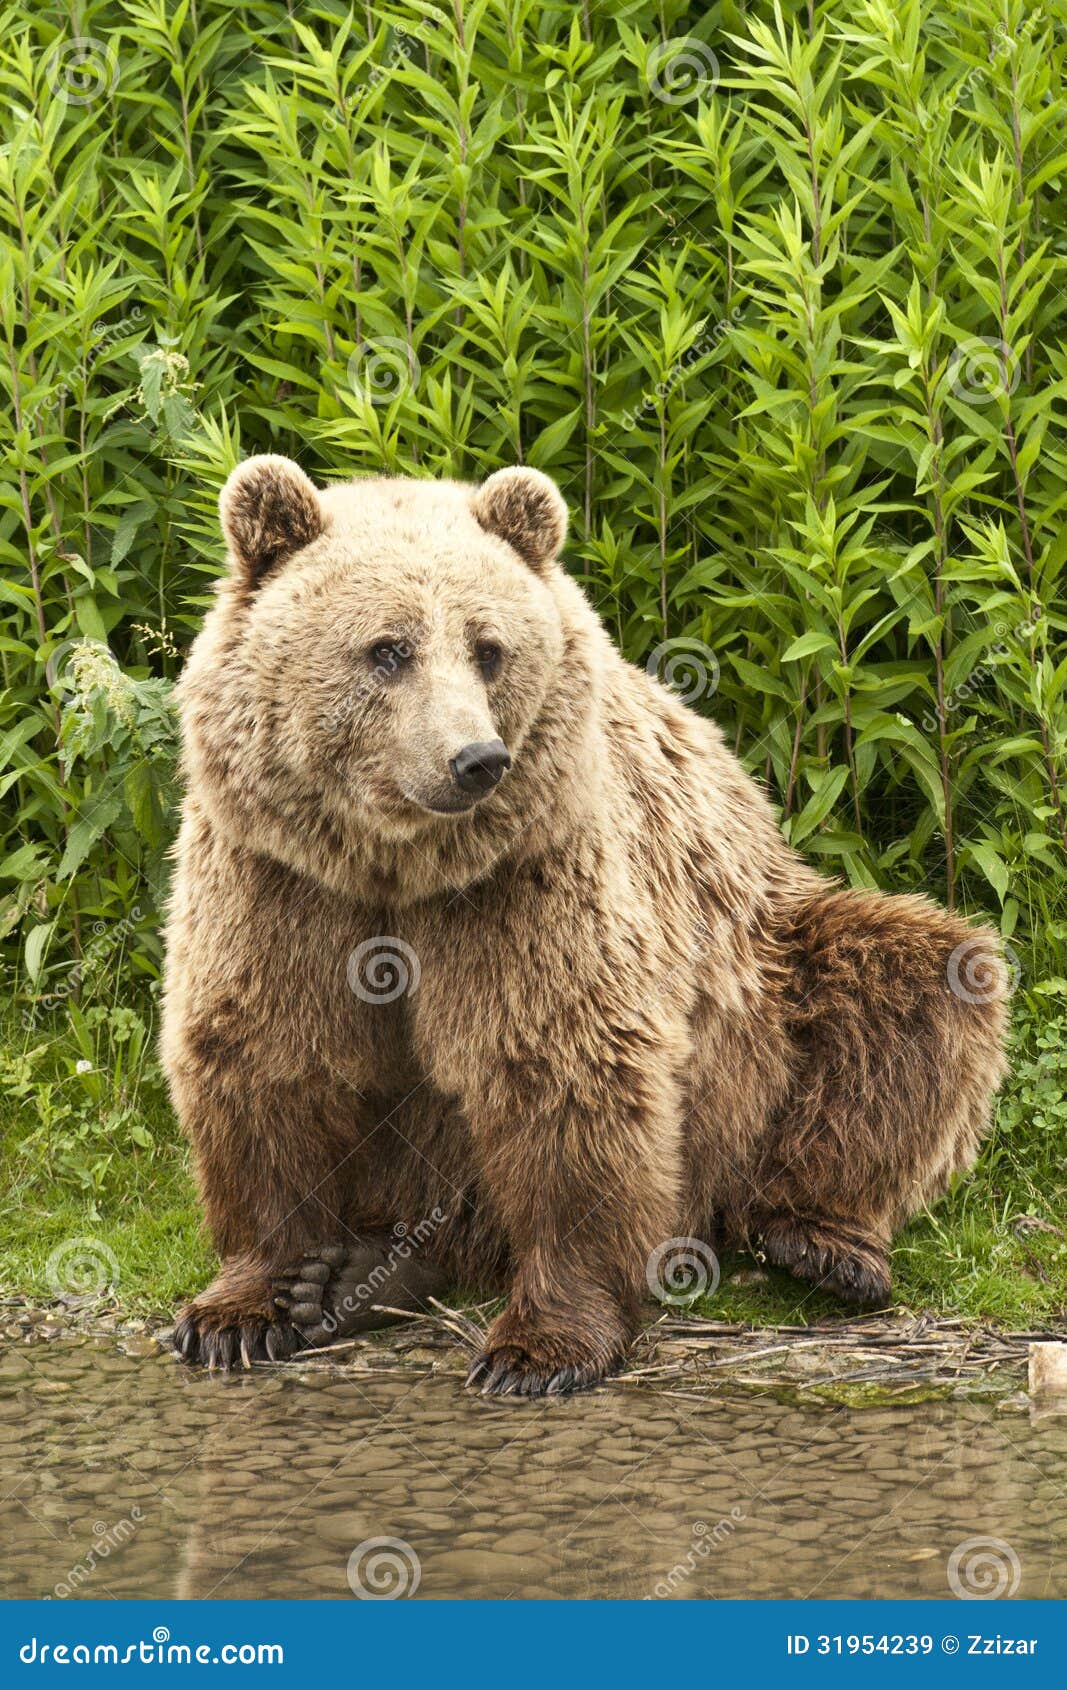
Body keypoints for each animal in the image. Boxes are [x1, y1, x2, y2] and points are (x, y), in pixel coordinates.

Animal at [162, 454, 1010, 1394]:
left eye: (487, 649)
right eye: (387, 650)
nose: (476, 760)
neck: (398, 867)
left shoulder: (531, 877)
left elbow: (560, 1068)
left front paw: (539, 1347)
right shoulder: (281, 880)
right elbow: (267, 1054)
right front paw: (246, 1305)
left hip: (771, 958)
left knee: (916, 991)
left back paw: (825, 1241)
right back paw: (354, 1278)